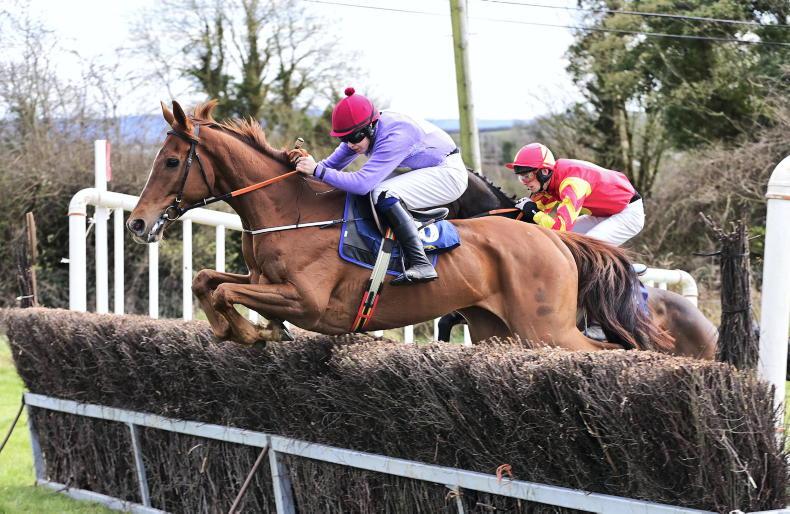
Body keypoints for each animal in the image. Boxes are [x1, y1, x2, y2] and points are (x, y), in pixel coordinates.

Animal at [126, 100, 674, 354]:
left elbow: (223, 292)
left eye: (171, 161)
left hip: (547, 329)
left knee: (604, 349)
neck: (291, 213)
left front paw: (249, 331)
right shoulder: (263, 281)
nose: (137, 222)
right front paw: (245, 330)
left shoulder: (308, 301)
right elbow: (208, 281)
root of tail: (555, 239)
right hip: (497, 329)